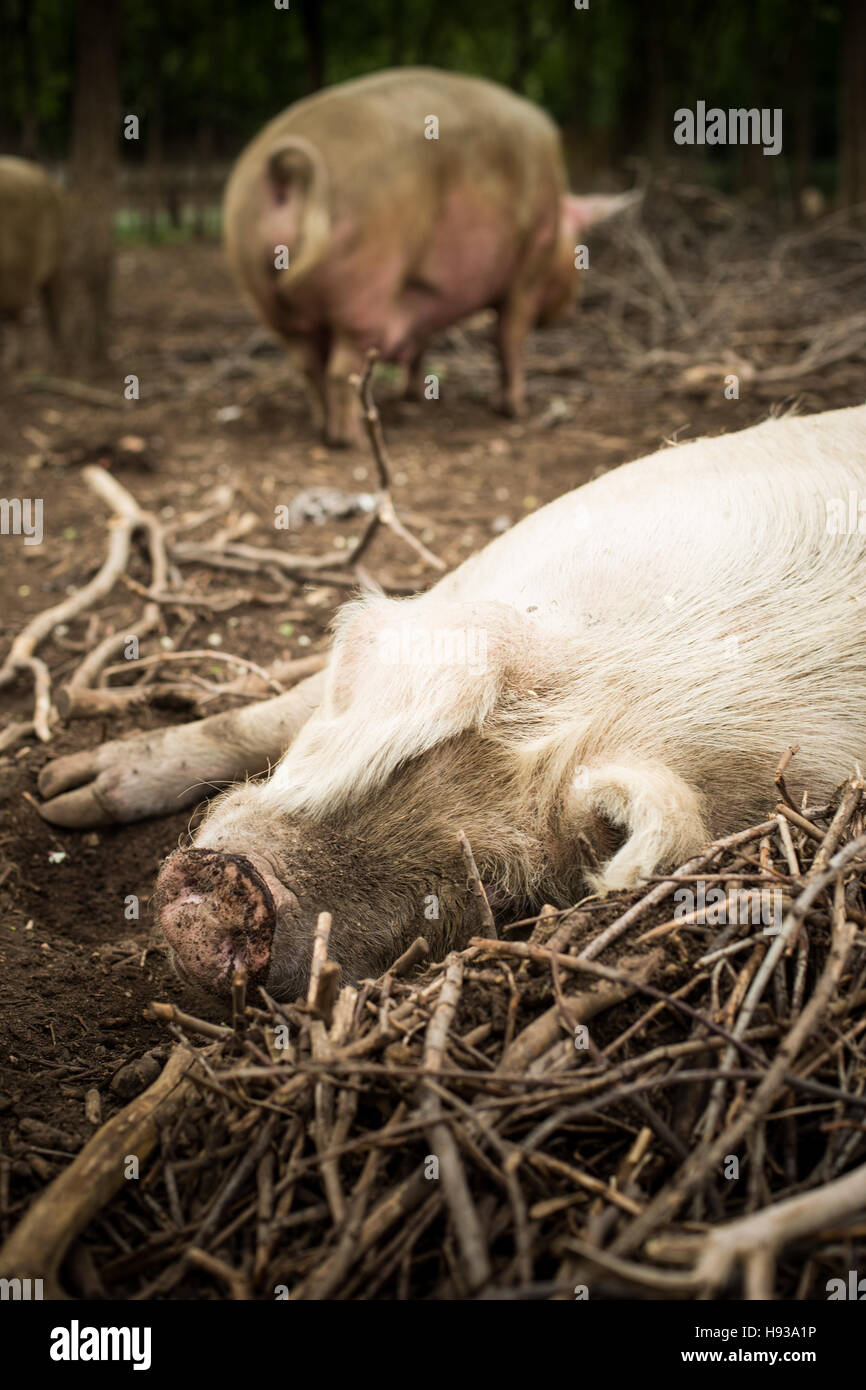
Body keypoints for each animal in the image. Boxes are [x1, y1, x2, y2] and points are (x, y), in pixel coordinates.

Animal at [223, 67, 636, 445]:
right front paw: (513, 410)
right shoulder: (529, 264)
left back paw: (323, 427)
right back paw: (350, 440)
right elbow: (508, 339)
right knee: (341, 371)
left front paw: (412, 396)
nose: (571, 306)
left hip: (265, 293)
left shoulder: (422, 295)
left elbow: (422, 342)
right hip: (364, 285)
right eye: (574, 241)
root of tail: (282, 171)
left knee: (308, 366)